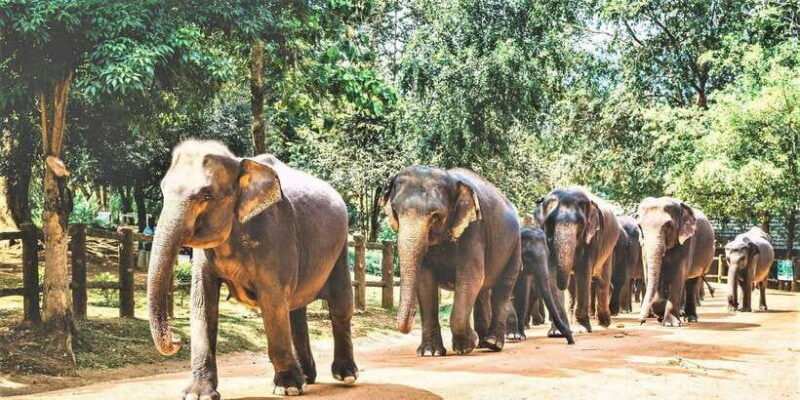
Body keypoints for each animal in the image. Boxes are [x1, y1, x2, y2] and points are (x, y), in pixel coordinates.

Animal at [146, 140, 357, 398]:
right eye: (163, 189)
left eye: (207, 195)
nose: (176, 340)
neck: (240, 163)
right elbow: (203, 302)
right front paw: (198, 394)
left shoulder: (274, 234)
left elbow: (272, 301)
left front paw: (287, 387)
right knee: (295, 311)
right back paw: (307, 378)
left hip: (341, 245)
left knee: (340, 304)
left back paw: (345, 376)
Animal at [380, 166, 521, 355]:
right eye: (395, 210)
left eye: (435, 215)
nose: (411, 316)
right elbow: (425, 282)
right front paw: (430, 352)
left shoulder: (474, 229)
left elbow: (470, 278)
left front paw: (467, 345)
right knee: (483, 291)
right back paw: (483, 342)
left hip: (515, 245)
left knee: (503, 288)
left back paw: (492, 343)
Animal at [540, 187, 621, 335]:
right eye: (550, 221)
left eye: (580, 223)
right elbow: (553, 274)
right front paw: (557, 333)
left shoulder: (593, 238)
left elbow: (583, 274)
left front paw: (581, 329)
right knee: (573, 285)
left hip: (609, 248)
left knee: (602, 281)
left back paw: (604, 322)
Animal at [637, 197, 715, 326]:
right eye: (640, 226)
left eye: (668, 226)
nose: (641, 322)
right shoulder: (643, 246)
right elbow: (649, 274)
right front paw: (660, 315)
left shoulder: (686, 241)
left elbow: (677, 276)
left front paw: (671, 324)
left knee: (691, 283)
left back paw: (691, 318)